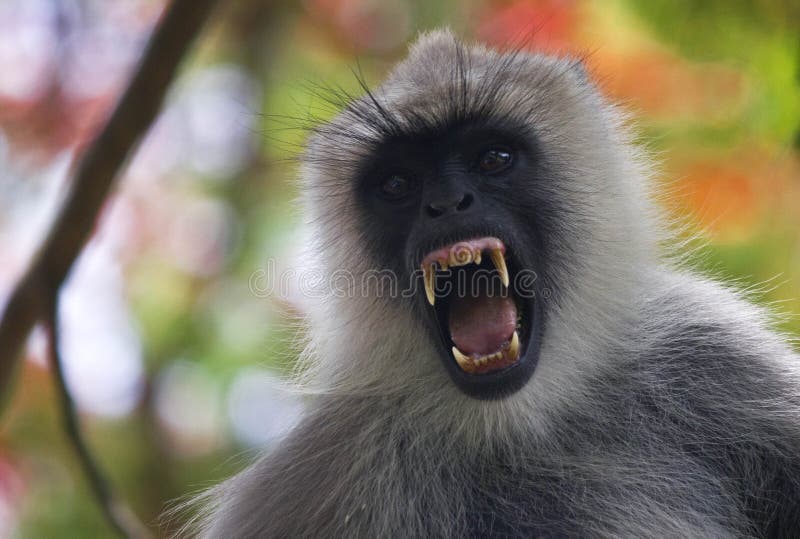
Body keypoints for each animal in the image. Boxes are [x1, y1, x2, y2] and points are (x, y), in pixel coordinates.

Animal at [188, 30, 800, 537]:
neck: (513, 422)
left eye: (494, 158)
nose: (446, 203)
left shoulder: (713, 354)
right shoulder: (318, 473)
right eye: (398, 183)